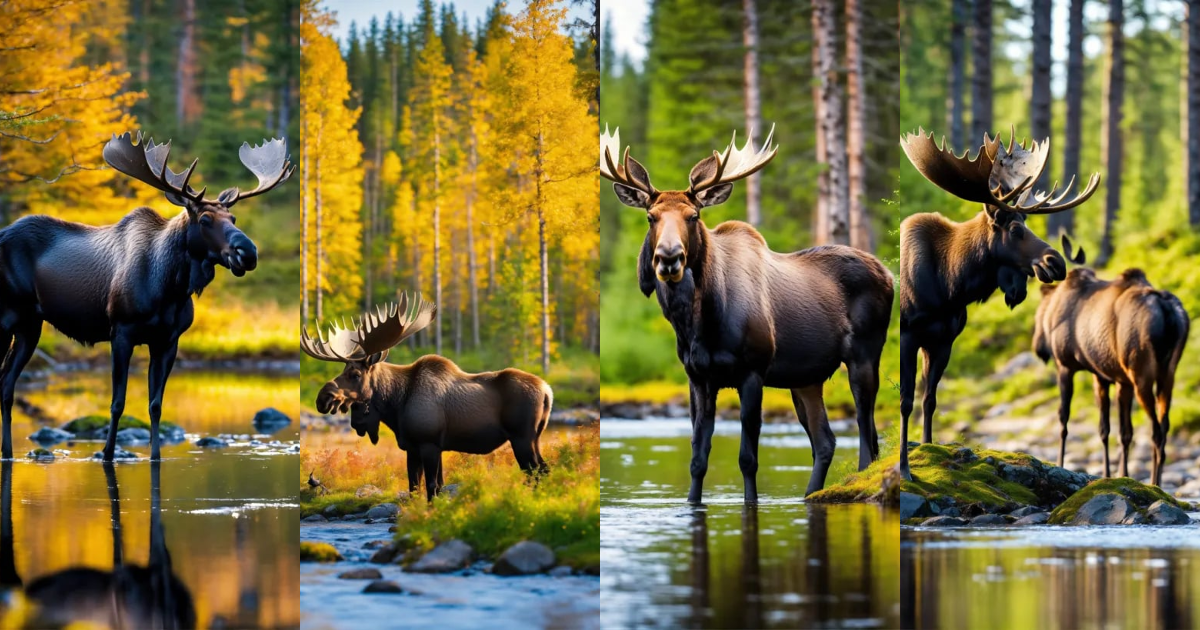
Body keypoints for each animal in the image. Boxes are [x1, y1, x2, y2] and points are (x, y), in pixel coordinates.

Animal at [0, 131, 292, 462]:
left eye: (233, 217)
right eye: (204, 219)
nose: (248, 252)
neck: (170, 288)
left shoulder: (167, 340)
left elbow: (155, 405)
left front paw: (155, 456)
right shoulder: (121, 332)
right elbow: (117, 403)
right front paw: (107, 453)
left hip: (30, 326)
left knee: (7, 383)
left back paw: (8, 452)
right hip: (8, 318)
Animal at [301, 295, 554, 501]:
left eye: (354, 374)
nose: (322, 398)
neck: (395, 404)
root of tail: (548, 391)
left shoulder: (429, 443)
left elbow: (432, 487)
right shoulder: (414, 447)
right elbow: (416, 487)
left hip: (521, 437)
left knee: (535, 472)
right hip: (534, 437)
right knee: (544, 469)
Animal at [600, 126, 895, 502]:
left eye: (693, 216)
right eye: (651, 217)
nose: (668, 257)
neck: (698, 325)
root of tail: (889, 275)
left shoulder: (752, 372)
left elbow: (748, 459)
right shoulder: (698, 378)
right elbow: (698, 458)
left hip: (864, 357)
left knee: (867, 435)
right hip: (806, 377)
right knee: (825, 441)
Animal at [897, 127, 1100, 480]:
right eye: (1016, 229)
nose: (1057, 263)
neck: (950, 284)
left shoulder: (943, 340)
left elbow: (929, 399)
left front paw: (927, 448)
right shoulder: (909, 335)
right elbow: (907, 401)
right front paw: (905, 470)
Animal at [1033, 265, 1189, 485]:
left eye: (1037, 316)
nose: (1038, 347)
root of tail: (1168, 313)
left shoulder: (1070, 368)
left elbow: (1071, 421)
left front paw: (1064, 464)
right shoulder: (1119, 380)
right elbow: (1123, 432)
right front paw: (1122, 474)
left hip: (1142, 376)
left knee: (1156, 433)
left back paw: (1155, 483)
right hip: (1167, 375)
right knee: (1164, 427)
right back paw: (1155, 482)